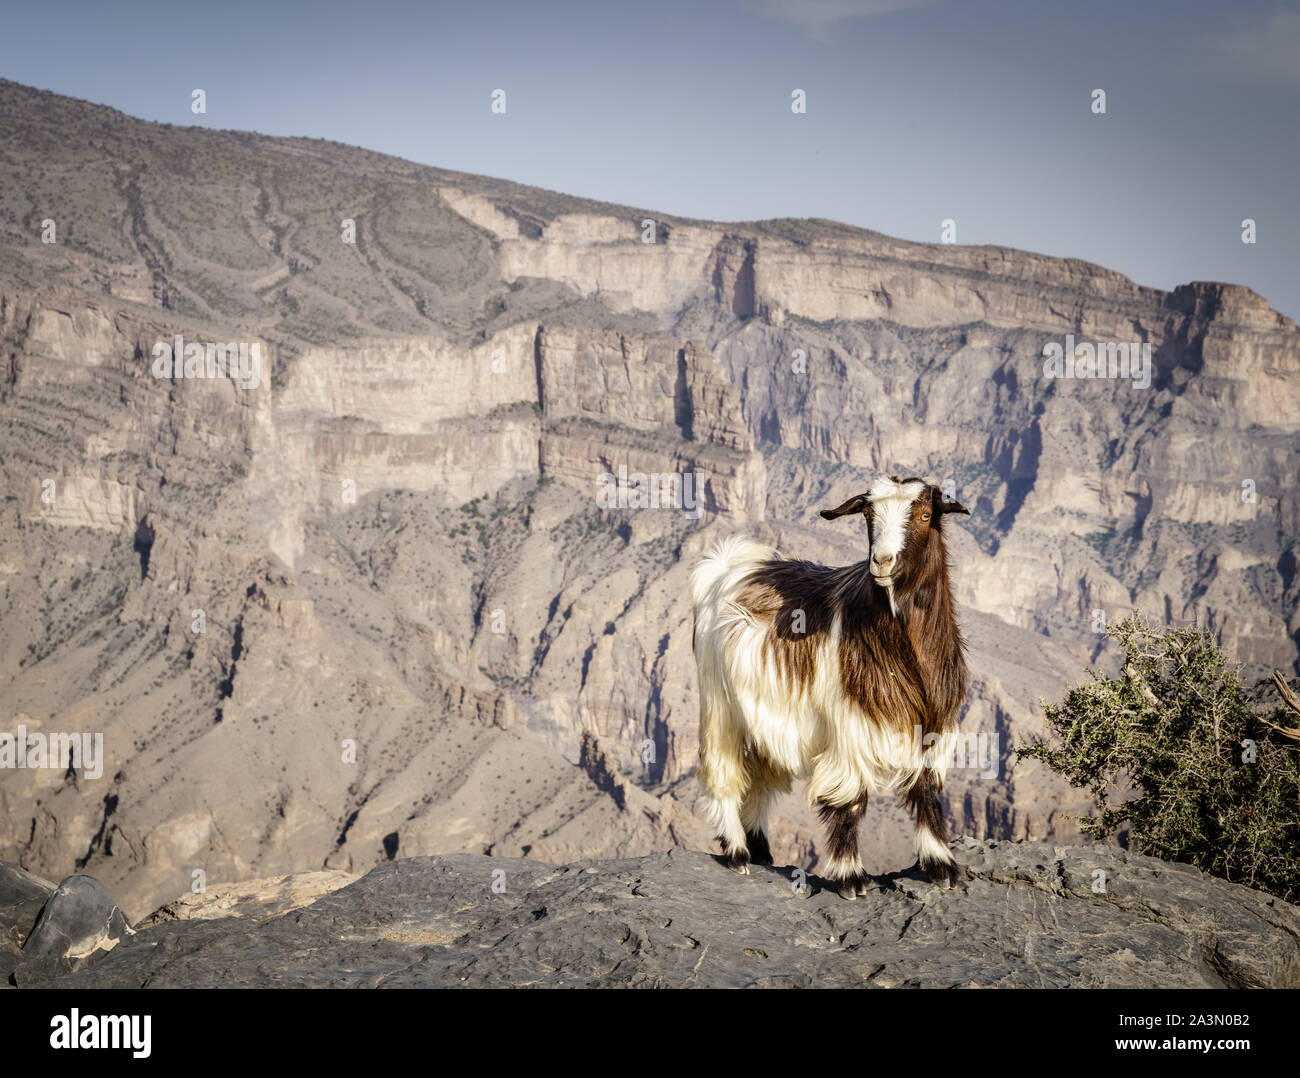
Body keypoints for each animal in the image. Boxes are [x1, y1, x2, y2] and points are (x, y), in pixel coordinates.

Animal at [690, 476, 969, 897]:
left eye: (924, 515)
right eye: (868, 515)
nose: (882, 562)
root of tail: (728, 566)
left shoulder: (934, 723)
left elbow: (927, 789)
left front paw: (941, 865)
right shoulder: (848, 727)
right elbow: (849, 800)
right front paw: (850, 877)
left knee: (761, 775)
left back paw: (760, 849)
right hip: (718, 703)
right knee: (724, 771)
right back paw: (737, 852)